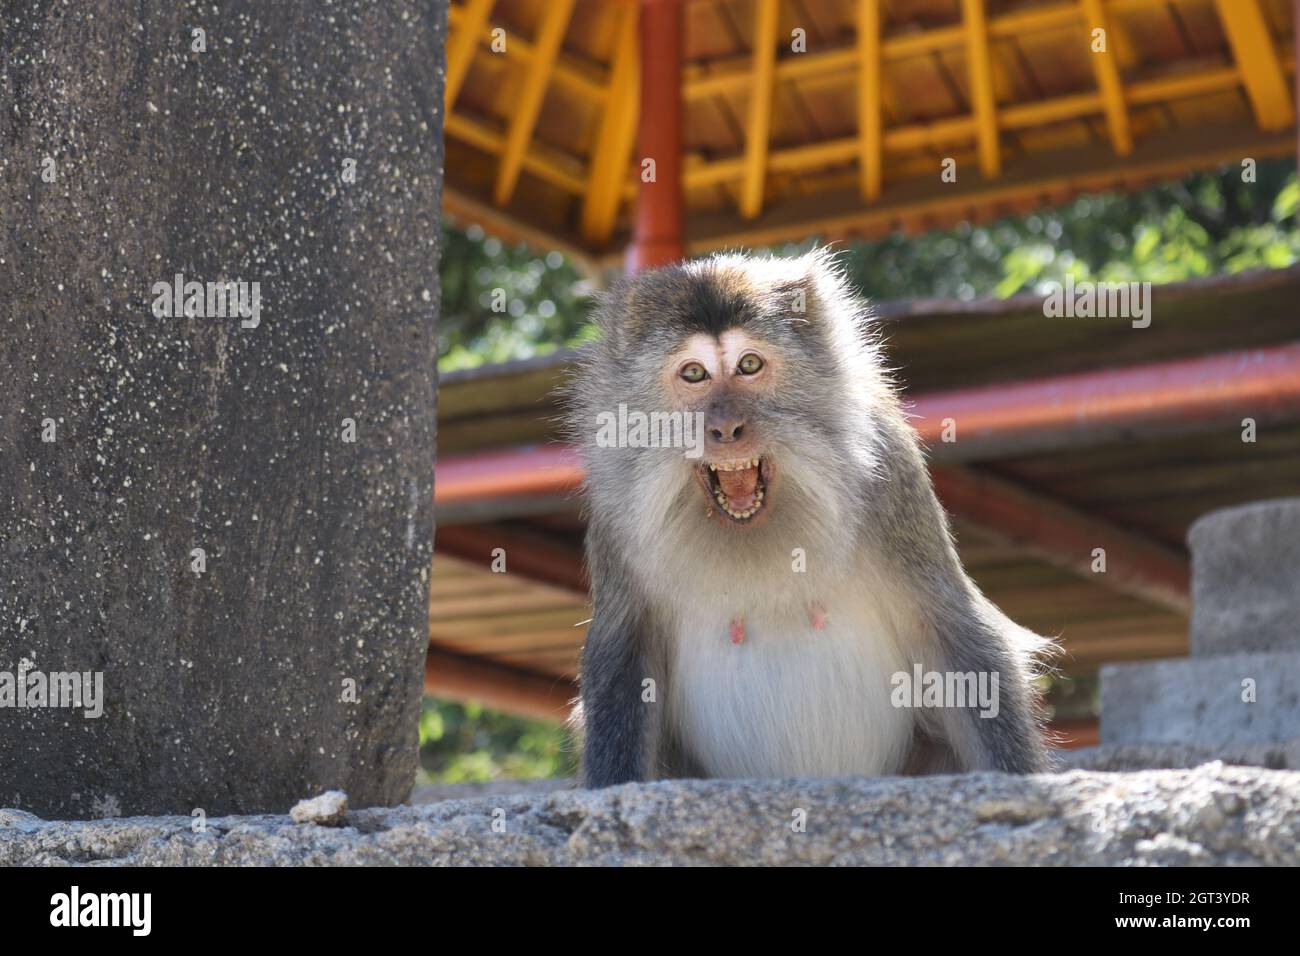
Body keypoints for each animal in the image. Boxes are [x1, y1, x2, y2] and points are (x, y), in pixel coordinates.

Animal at [566, 249, 1054, 788]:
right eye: (694, 374)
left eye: (749, 365)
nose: (726, 428)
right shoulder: (615, 513)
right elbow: (624, 664)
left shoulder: (893, 478)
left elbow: (957, 636)